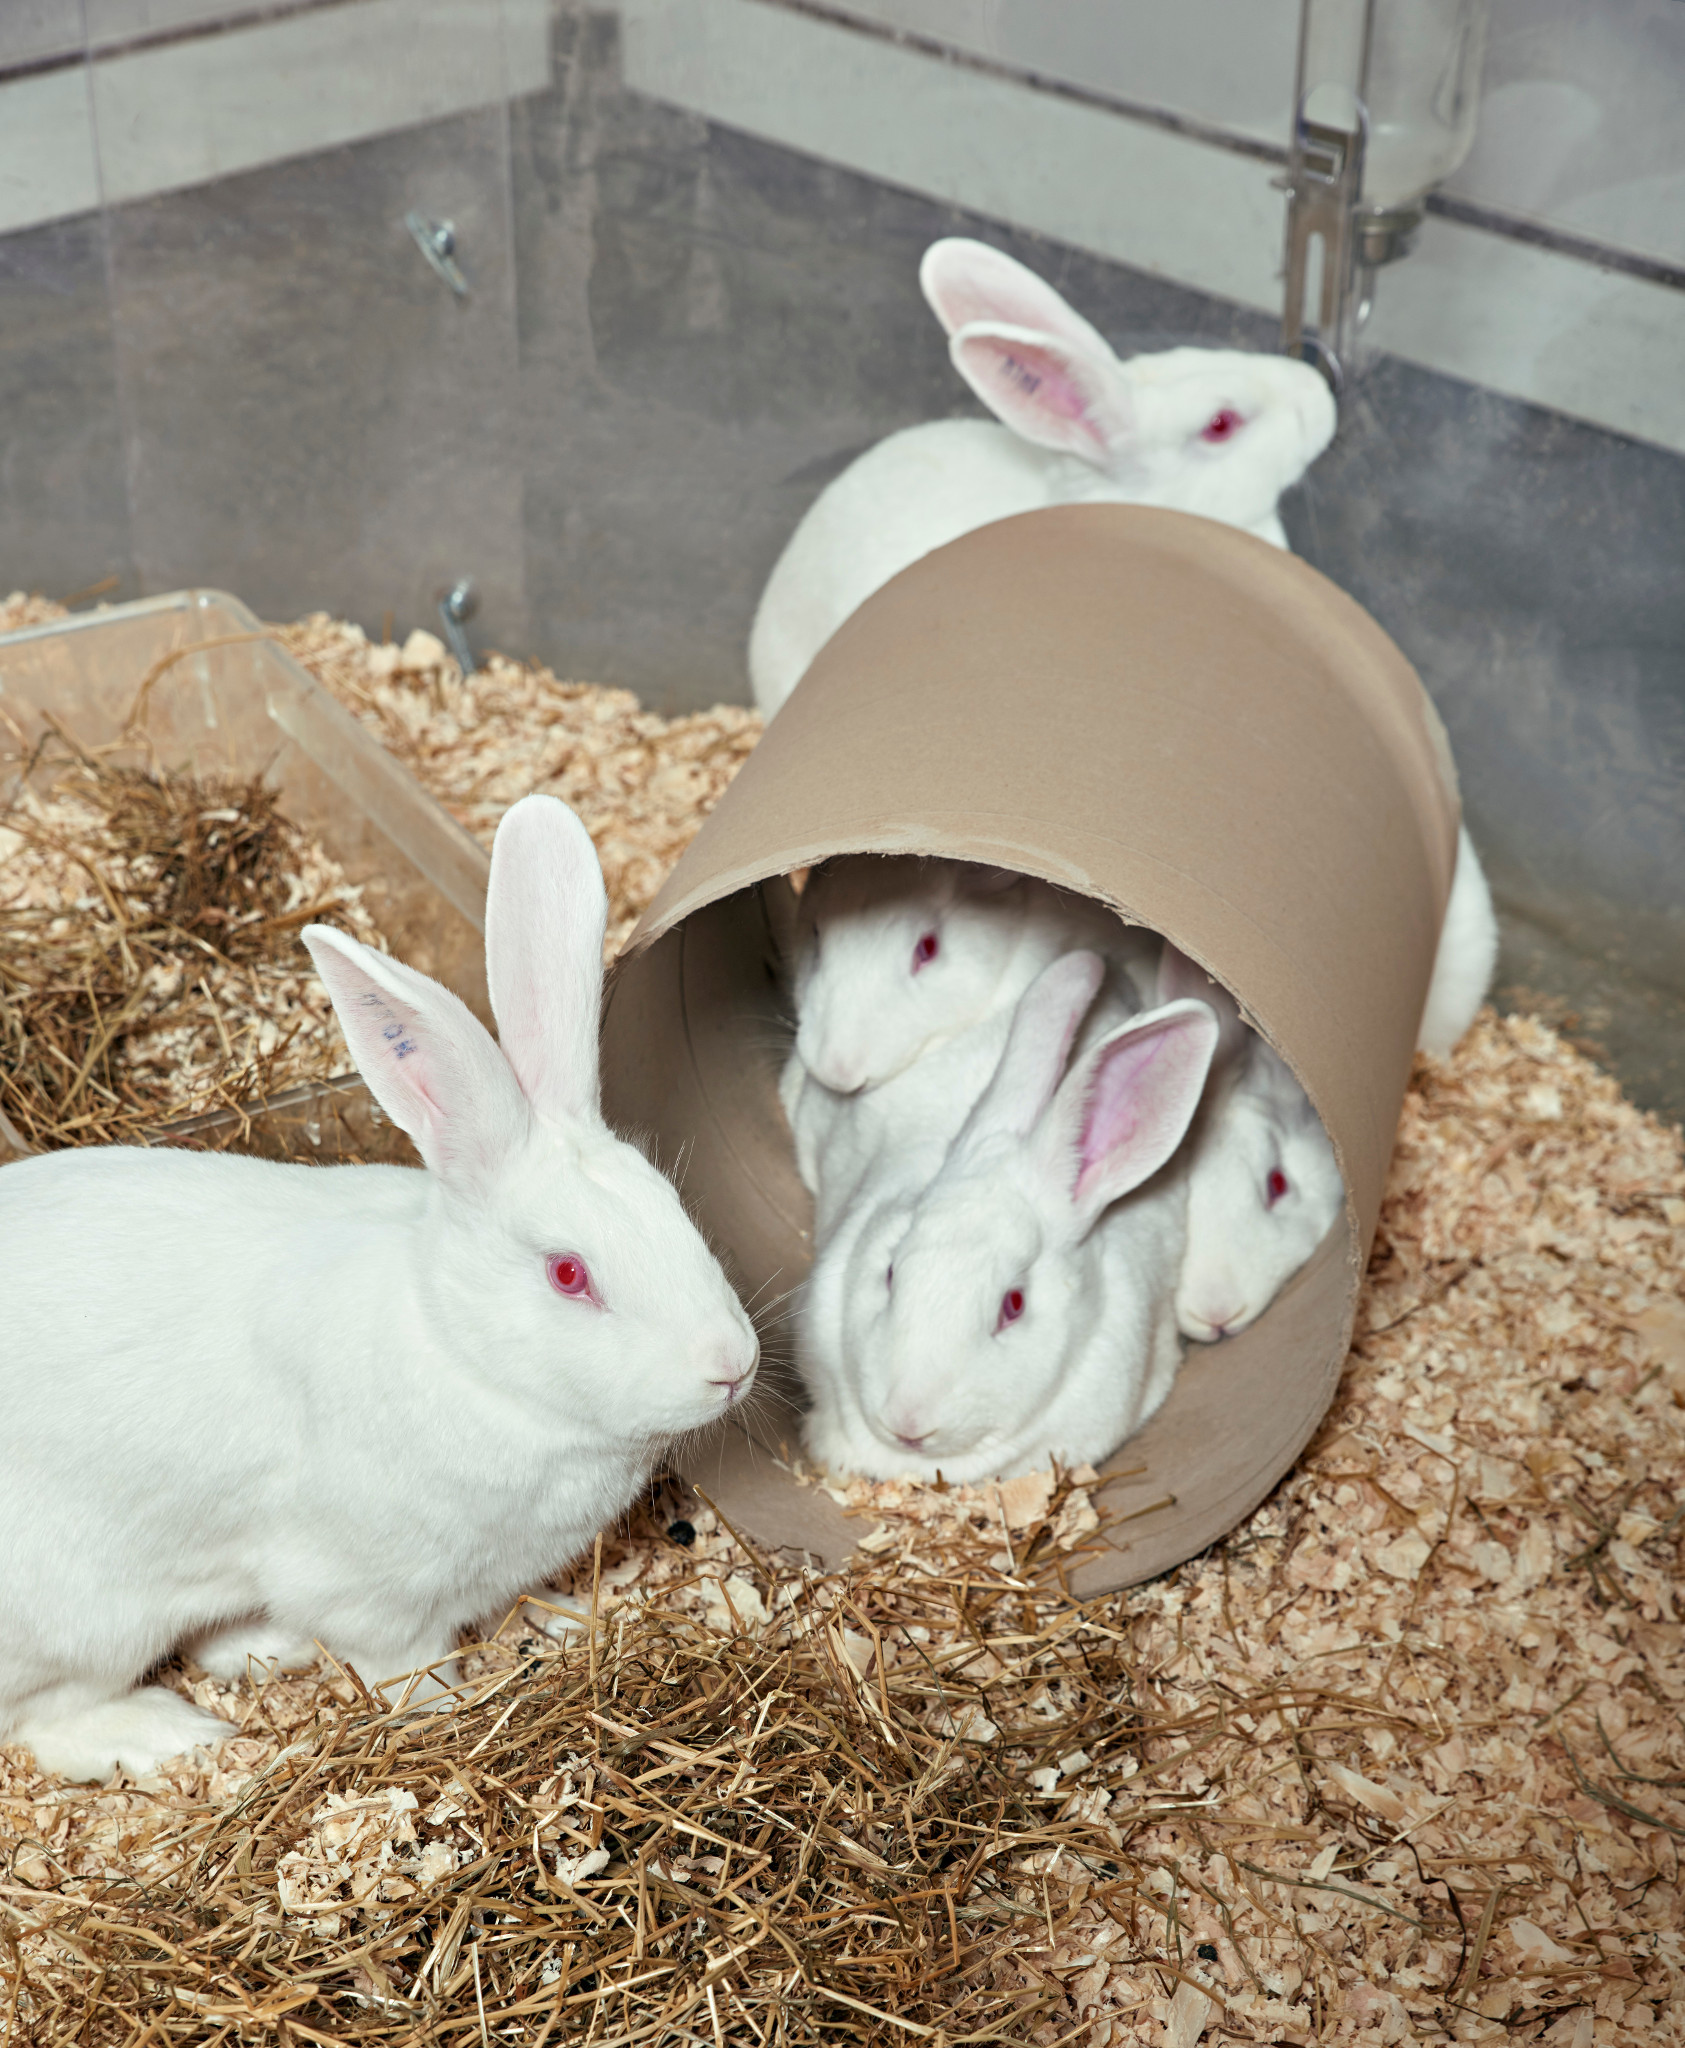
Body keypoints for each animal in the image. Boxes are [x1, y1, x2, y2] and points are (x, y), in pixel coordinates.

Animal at [0, 794, 758, 1783]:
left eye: (672, 1204)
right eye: (568, 1274)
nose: (732, 1367)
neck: (460, 1350)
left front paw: (560, 1623)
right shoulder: (371, 1591)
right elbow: (405, 1664)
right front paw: (454, 1707)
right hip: (88, 1620)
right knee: (47, 1718)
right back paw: (177, 1732)